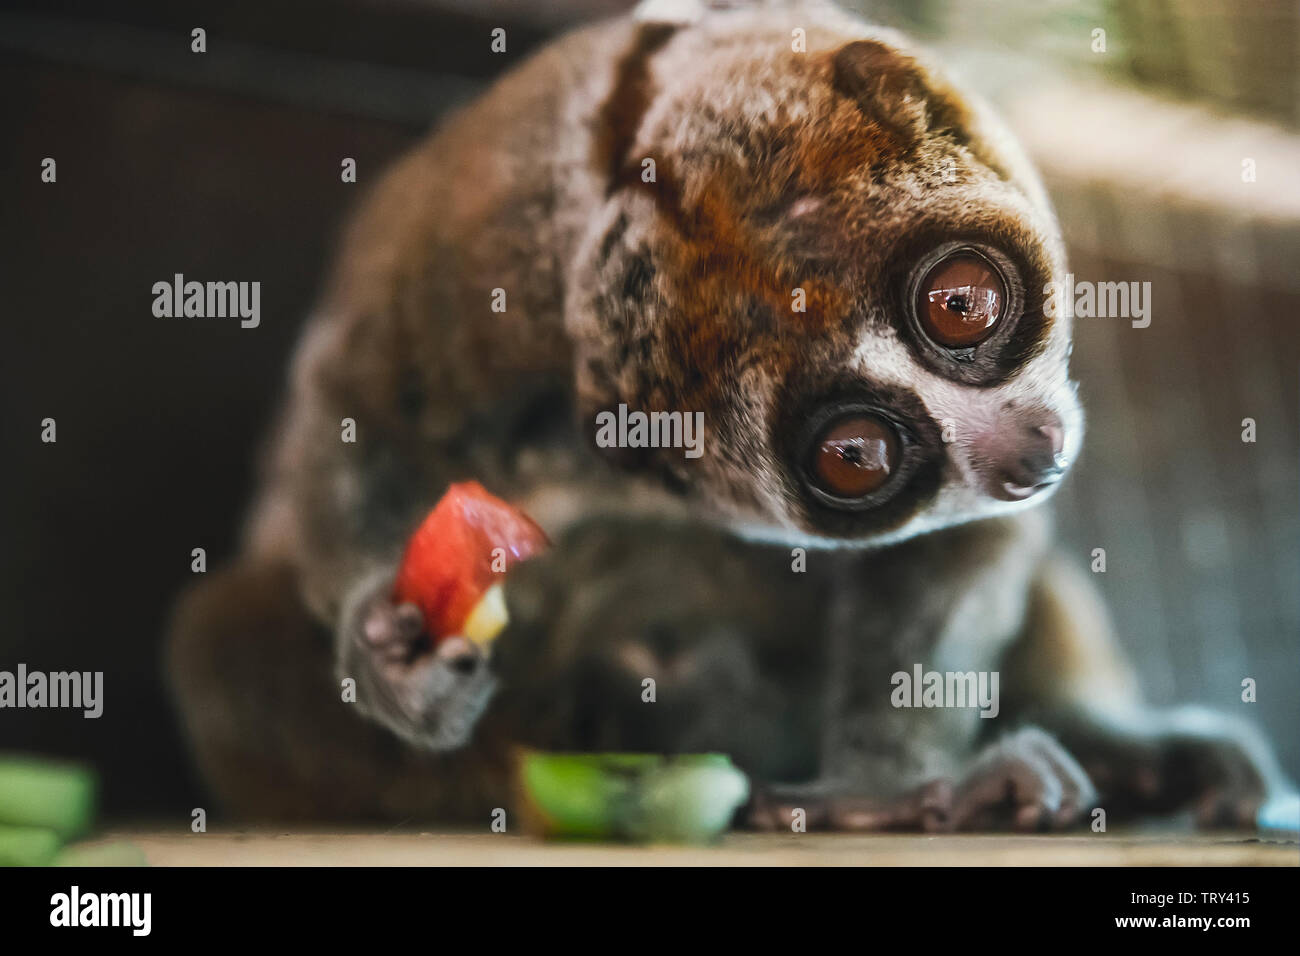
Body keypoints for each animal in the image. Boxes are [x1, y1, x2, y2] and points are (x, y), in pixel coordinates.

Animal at [166, 0, 1292, 830]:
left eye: (961, 302)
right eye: (854, 454)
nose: (1029, 453)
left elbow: (968, 545)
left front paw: (881, 791)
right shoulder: (474, 260)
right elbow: (355, 402)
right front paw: (390, 654)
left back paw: (1129, 752)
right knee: (218, 656)